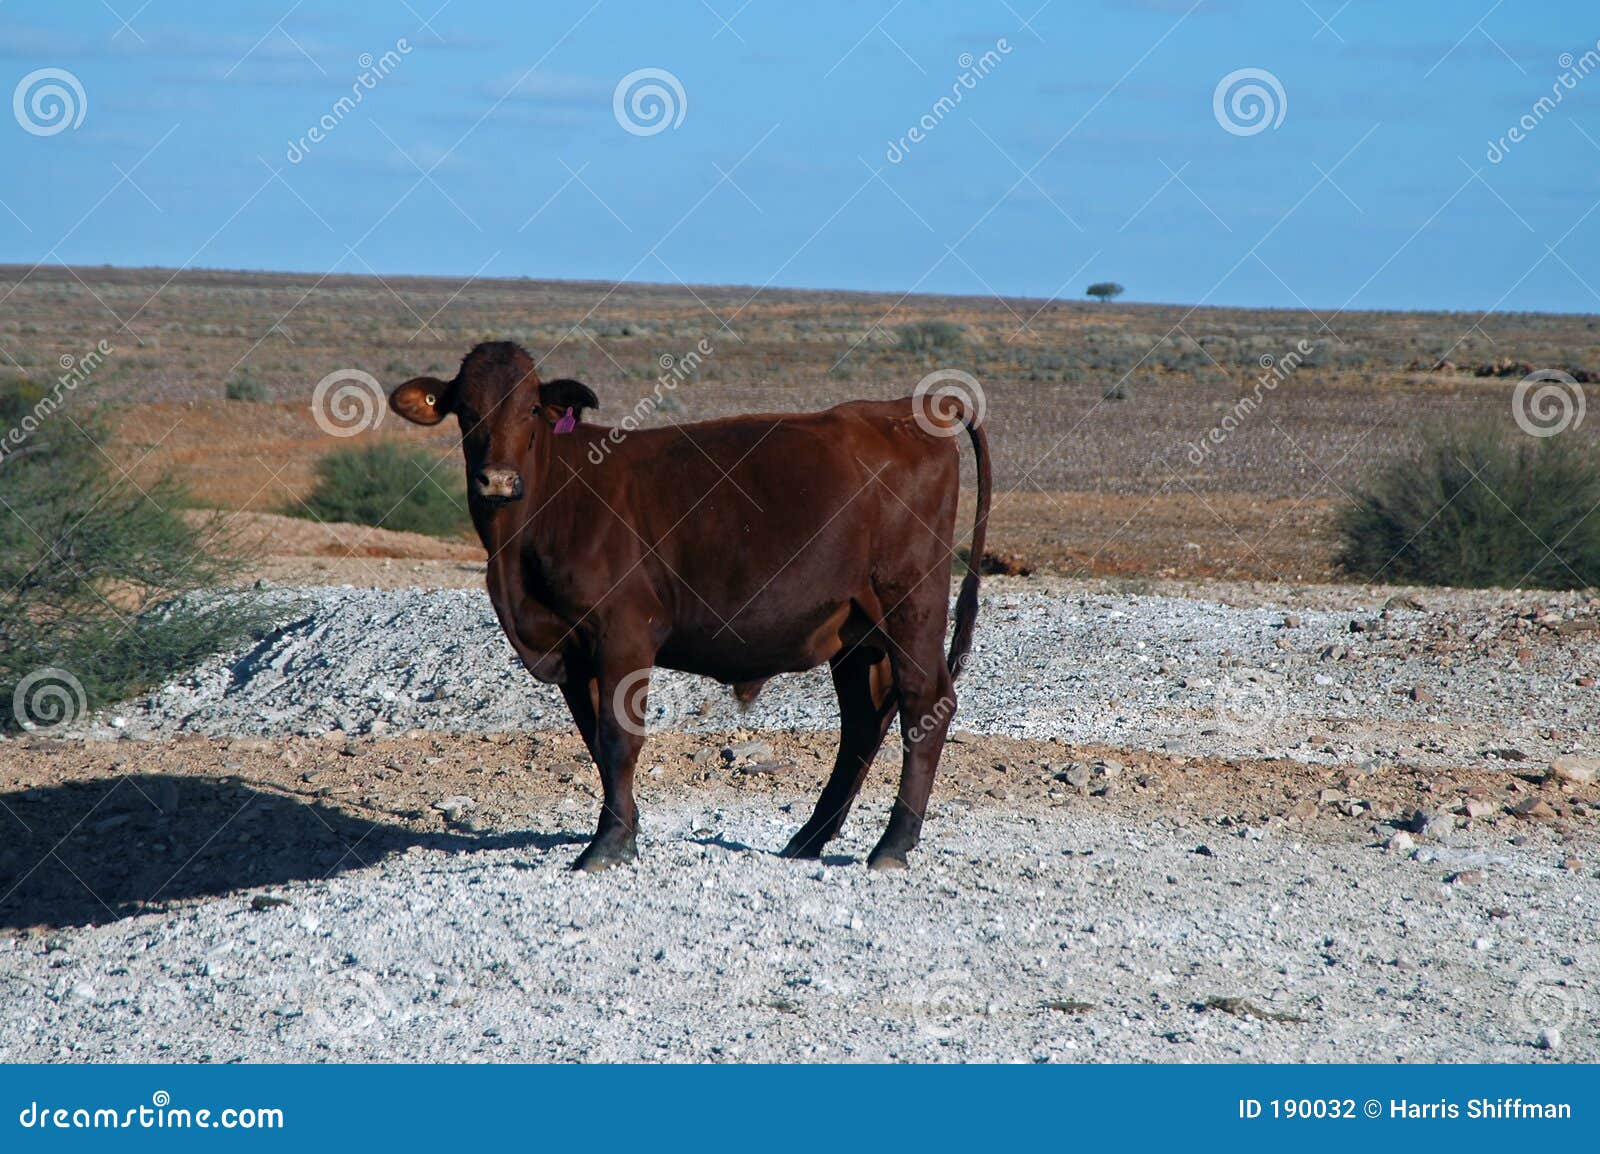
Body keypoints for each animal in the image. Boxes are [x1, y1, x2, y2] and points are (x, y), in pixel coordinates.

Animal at [387, 341, 990, 872]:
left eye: (532, 407)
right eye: (465, 411)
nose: (497, 480)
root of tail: (905, 408)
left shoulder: (623, 633)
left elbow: (618, 739)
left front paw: (607, 846)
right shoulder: (572, 650)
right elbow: (595, 738)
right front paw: (624, 830)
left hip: (911, 603)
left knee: (924, 703)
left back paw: (893, 844)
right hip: (857, 630)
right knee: (865, 720)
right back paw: (808, 839)